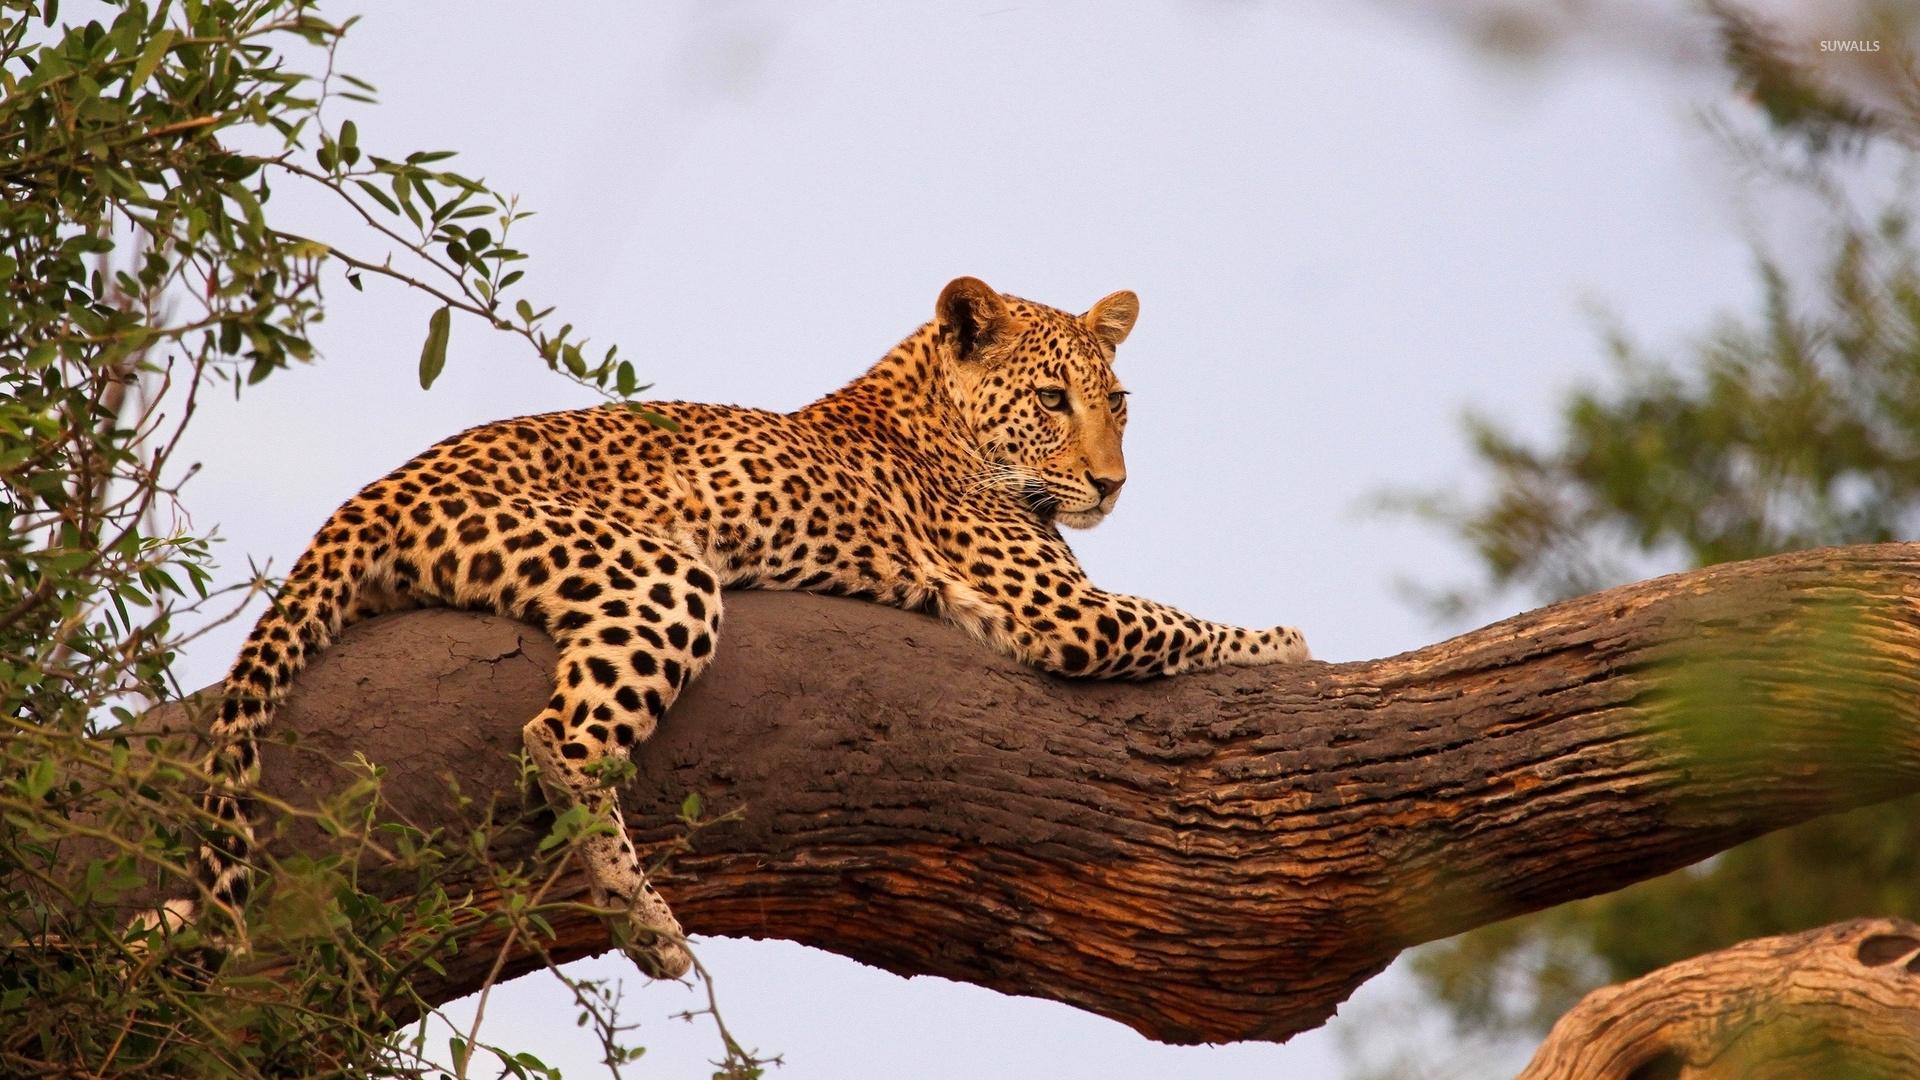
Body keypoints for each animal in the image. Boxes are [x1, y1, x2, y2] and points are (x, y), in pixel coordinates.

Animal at [161, 277, 1312, 979]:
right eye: (1053, 399)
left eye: (1118, 401)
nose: (1113, 486)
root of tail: (374, 491)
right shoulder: (1059, 611)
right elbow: (1181, 622)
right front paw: (1294, 643)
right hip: (660, 574)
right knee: (557, 742)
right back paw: (649, 927)